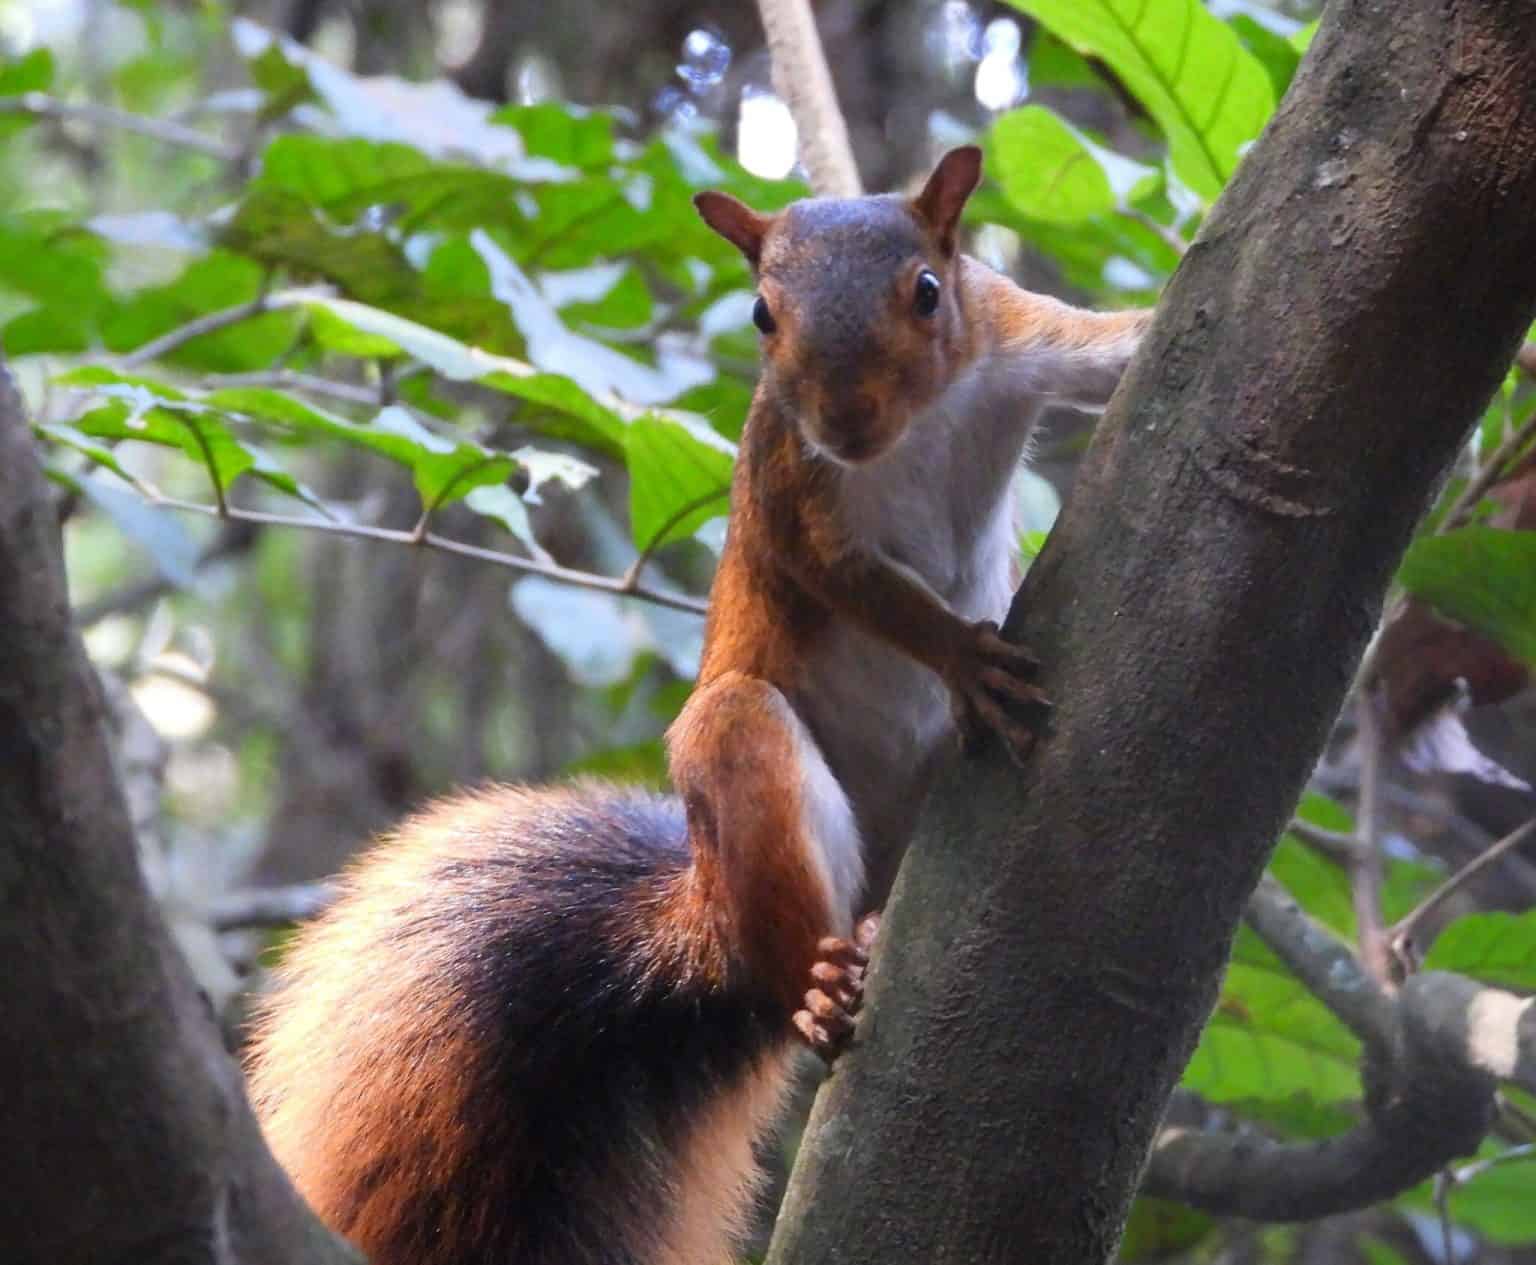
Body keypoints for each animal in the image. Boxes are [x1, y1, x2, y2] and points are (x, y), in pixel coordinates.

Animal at [244, 146, 1151, 1265]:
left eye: (929, 292)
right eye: (762, 314)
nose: (847, 421)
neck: (920, 430)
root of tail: (709, 914)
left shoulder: (1016, 338)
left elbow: (1116, 351)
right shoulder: (793, 485)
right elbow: (853, 580)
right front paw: (958, 652)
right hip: (744, 751)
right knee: (786, 932)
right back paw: (820, 980)